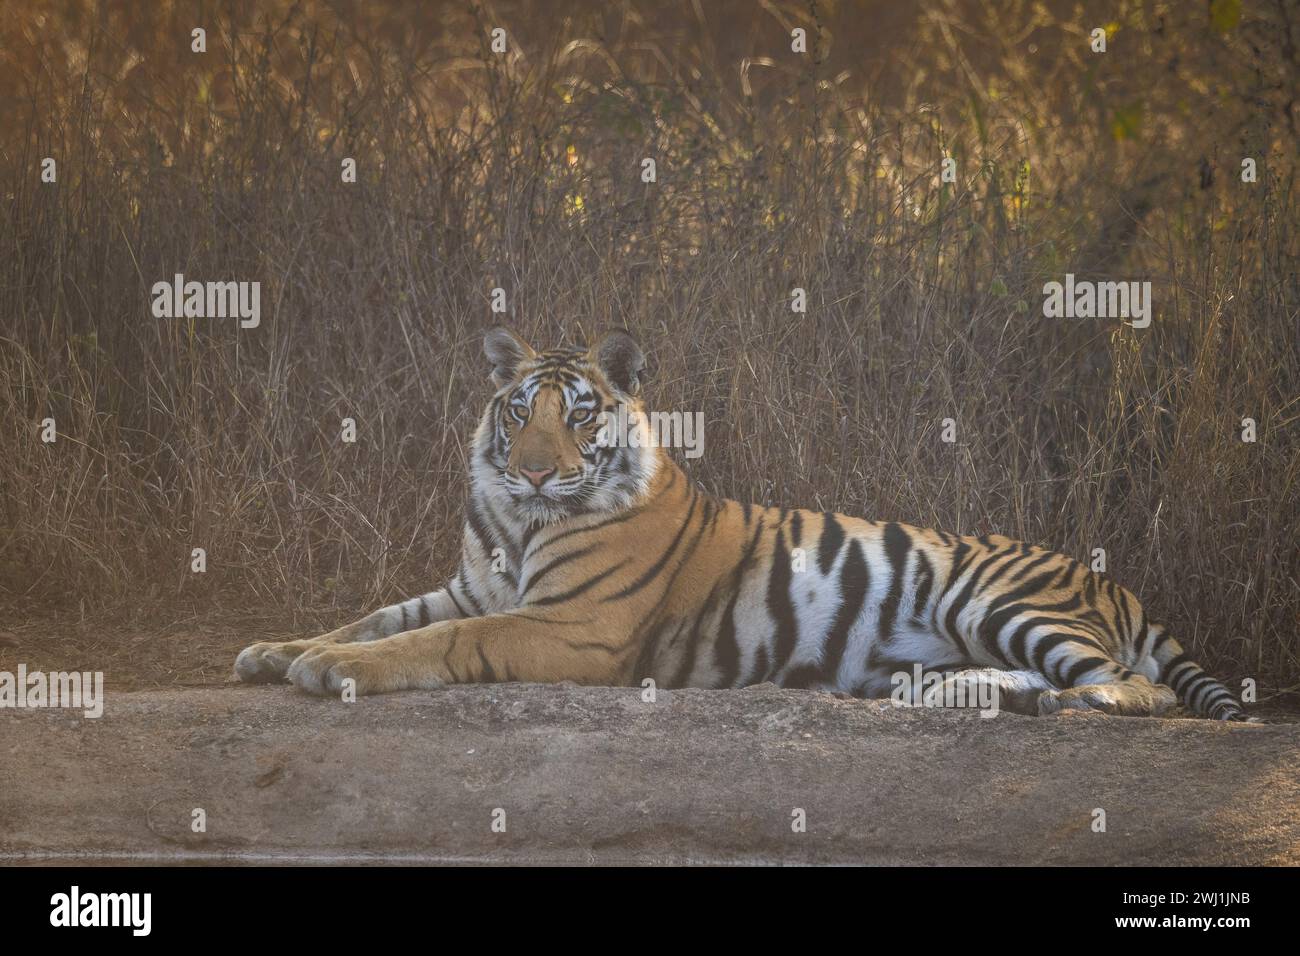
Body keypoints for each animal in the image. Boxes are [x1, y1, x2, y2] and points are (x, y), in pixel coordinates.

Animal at [234, 326, 1248, 720]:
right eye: (520, 412)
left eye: (580, 416)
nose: (532, 471)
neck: (519, 522)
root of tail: (1113, 579)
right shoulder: (471, 585)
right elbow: (378, 617)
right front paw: (279, 650)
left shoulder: (575, 626)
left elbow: (431, 642)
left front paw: (328, 670)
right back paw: (964, 696)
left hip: (996, 597)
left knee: (1133, 684)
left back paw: (1084, 701)